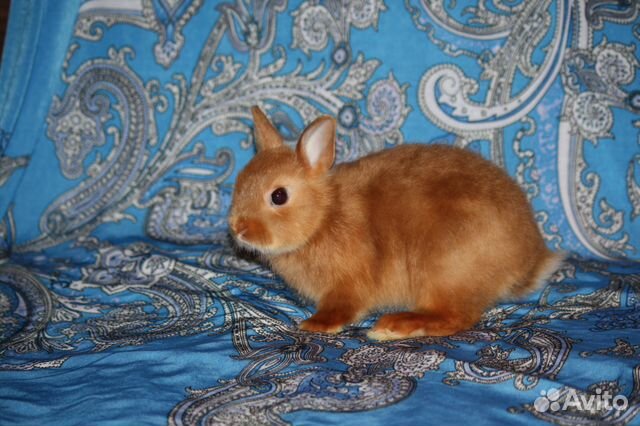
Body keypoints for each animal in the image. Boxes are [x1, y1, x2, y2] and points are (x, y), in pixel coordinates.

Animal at [228, 106, 564, 340]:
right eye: (240, 181)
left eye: (279, 196)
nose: (237, 228)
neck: (324, 218)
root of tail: (527, 260)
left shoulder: (349, 283)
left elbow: (342, 307)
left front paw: (314, 325)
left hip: (442, 268)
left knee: (455, 318)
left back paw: (392, 327)